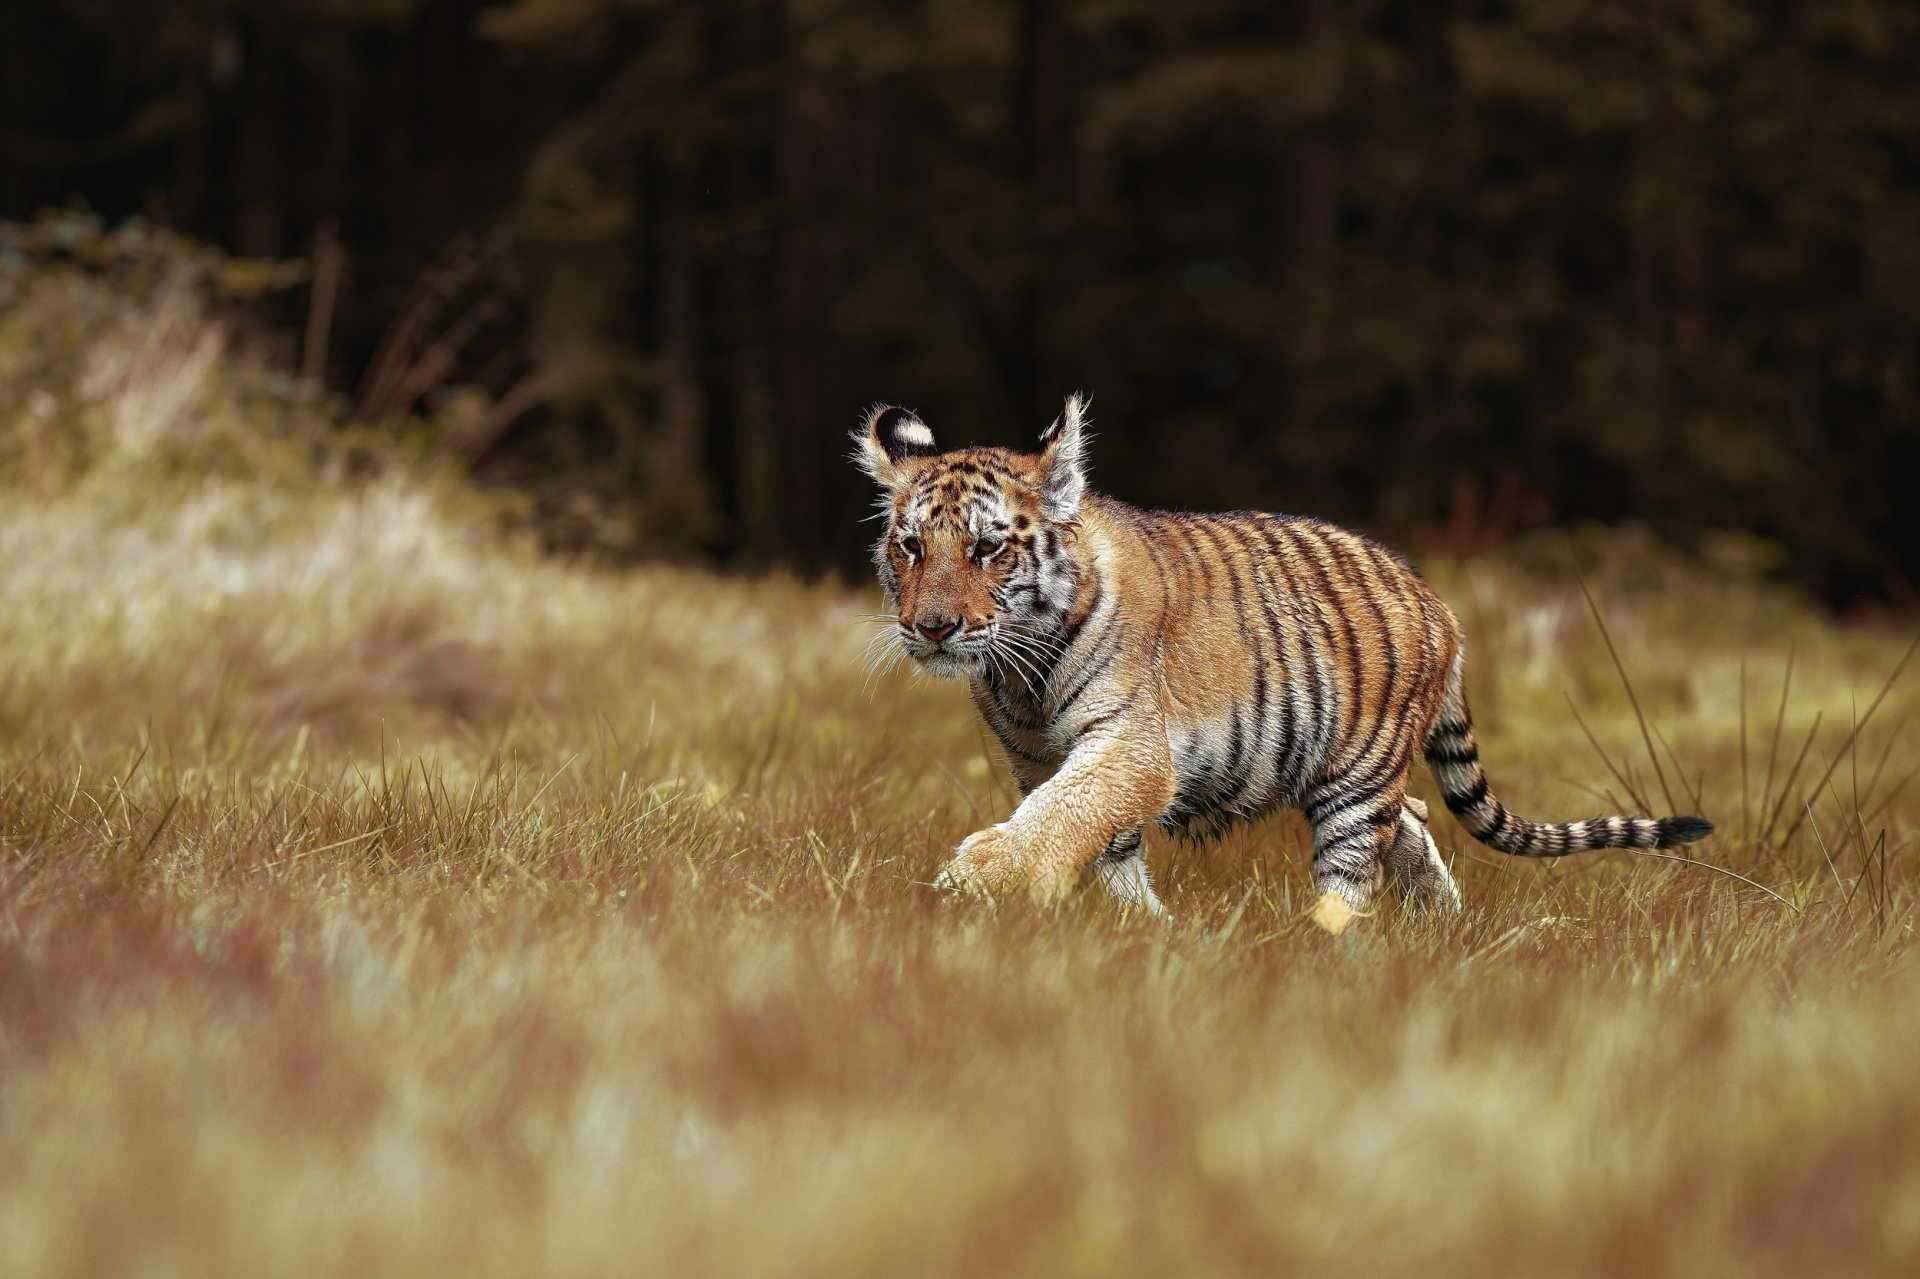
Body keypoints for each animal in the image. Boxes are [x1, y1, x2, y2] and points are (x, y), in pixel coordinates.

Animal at [854, 394, 1713, 917]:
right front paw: (1140, 927)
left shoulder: (1131, 746)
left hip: (1358, 777)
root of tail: (1439, 601)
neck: (1017, 674)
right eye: (909, 546)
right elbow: (1096, 840)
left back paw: (1330, 942)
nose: (931, 627)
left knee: (1359, 865)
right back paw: (1444, 923)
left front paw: (977, 875)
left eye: (986, 548)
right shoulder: (1037, 756)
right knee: (1416, 817)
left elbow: (1070, 811)